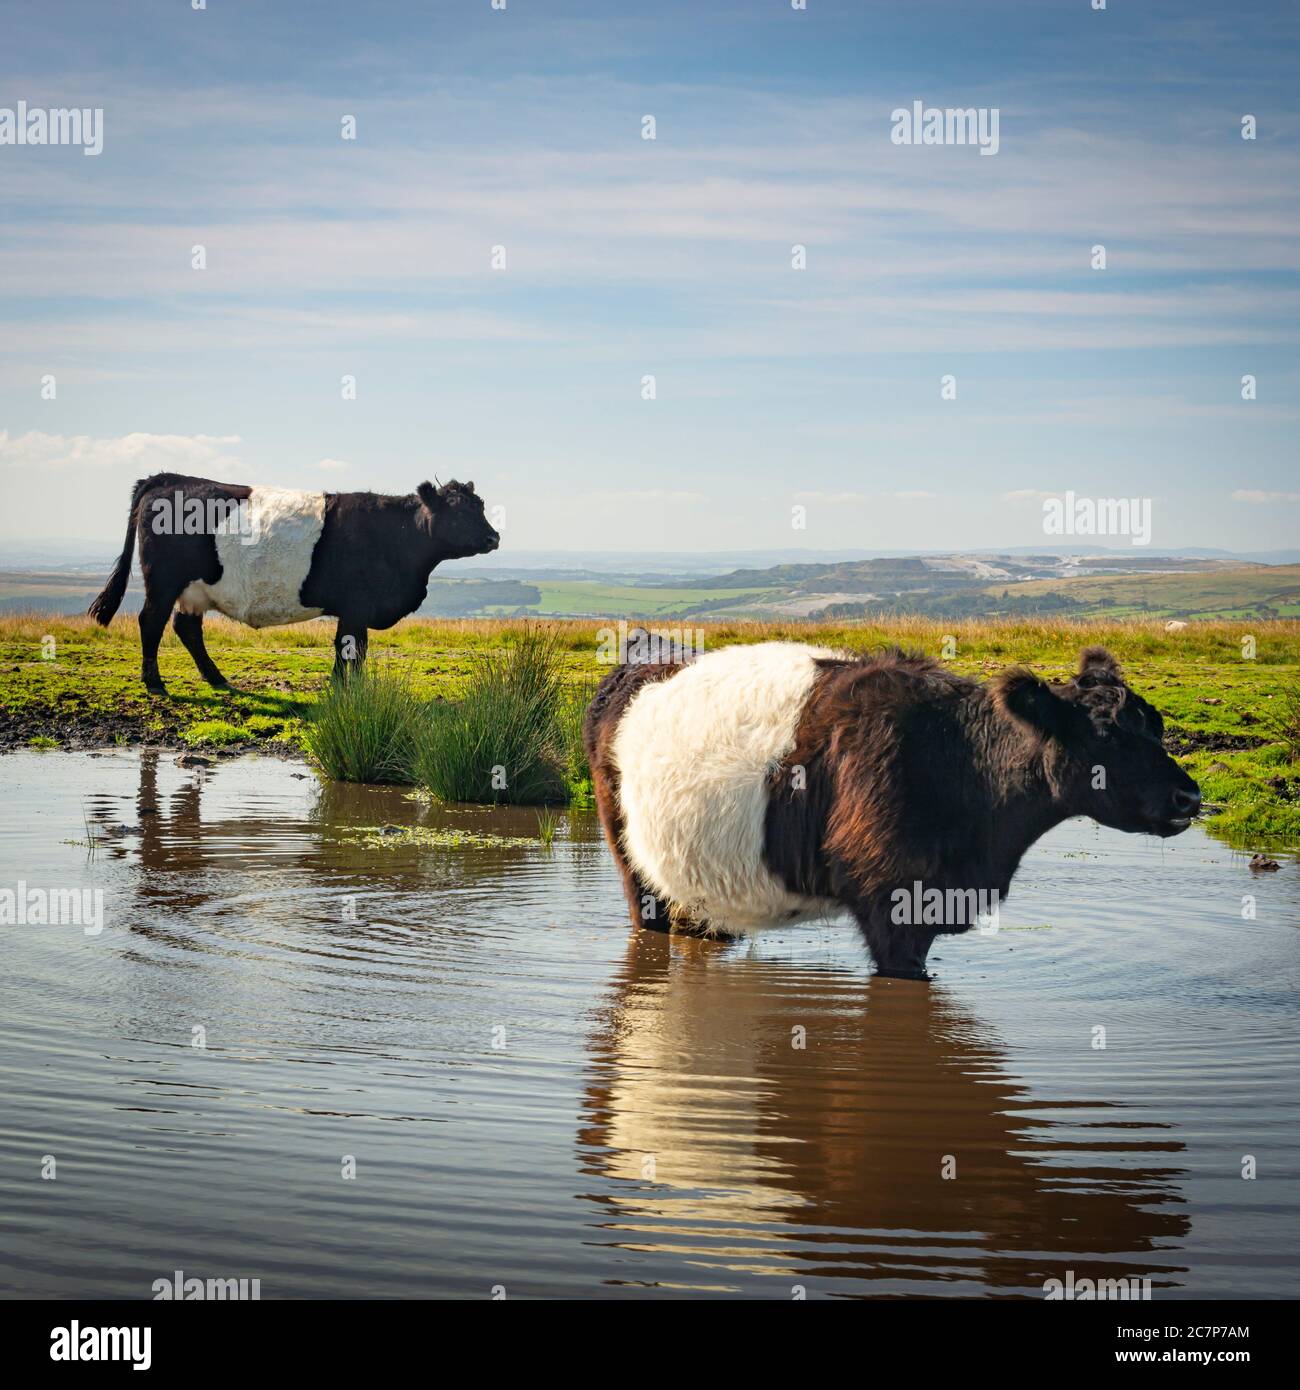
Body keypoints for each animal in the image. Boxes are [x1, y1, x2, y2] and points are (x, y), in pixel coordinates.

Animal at [88, 472, 499, 694]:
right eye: (459, 512)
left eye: (479, 506)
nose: (494, 537)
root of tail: (168, 477)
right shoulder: (356, 606)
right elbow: (349, 648)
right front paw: (341, 689)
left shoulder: (358, 610)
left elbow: (356, 649)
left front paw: (351, 687)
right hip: (163, 581)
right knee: (152, 622)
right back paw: (155, 682)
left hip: (195, 589)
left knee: (186, 627)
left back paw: (218, 680)